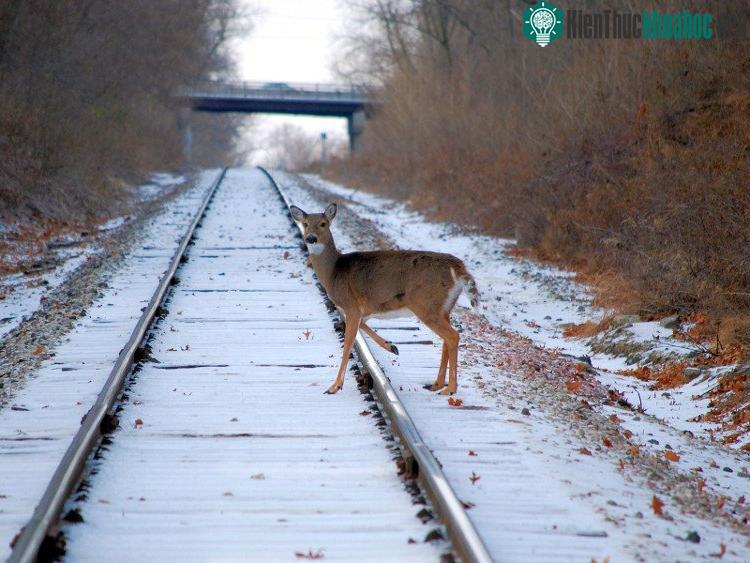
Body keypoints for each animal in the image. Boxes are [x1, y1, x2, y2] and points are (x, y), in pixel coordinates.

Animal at [290, 204, 478, 396]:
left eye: (323, 223)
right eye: (305, 223)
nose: (310, 238)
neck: (333, 273)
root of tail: (458, 269)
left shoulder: (351, 305)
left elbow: (348, 343)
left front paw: (335, 386)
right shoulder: (364, 310)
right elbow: (362, 328)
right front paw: (392, 347)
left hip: (427, 305)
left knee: (453, 336)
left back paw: (450, 389)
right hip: (444, 307)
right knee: (447, 338)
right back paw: (437, 384)